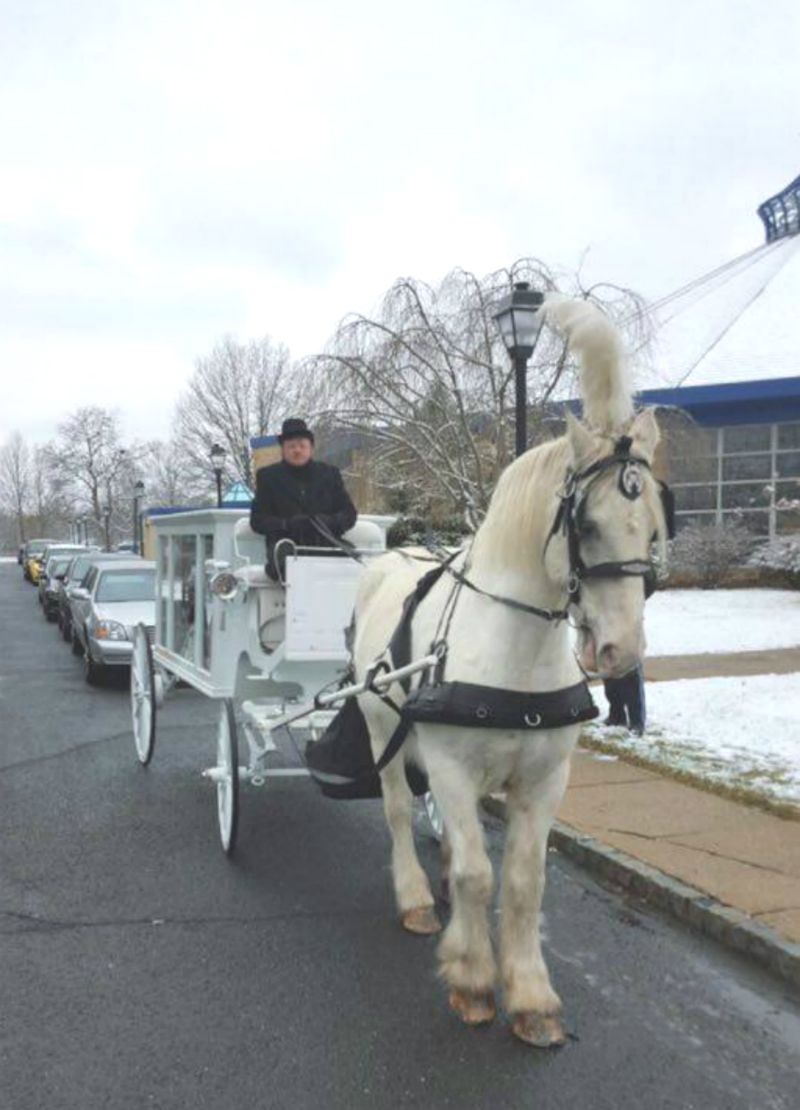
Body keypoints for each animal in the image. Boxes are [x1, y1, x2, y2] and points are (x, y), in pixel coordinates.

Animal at [351, 294, 669, 1047]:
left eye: (653, 526)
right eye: (586, 525)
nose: (620, 653)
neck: (515, 656)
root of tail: (386, 556)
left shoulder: (546, 779)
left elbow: (523, 883)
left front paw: (530, 996)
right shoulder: (452, 766)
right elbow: (476, 874)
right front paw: (472, 978)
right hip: (382, 729)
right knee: (398, 809)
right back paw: (416, 893)